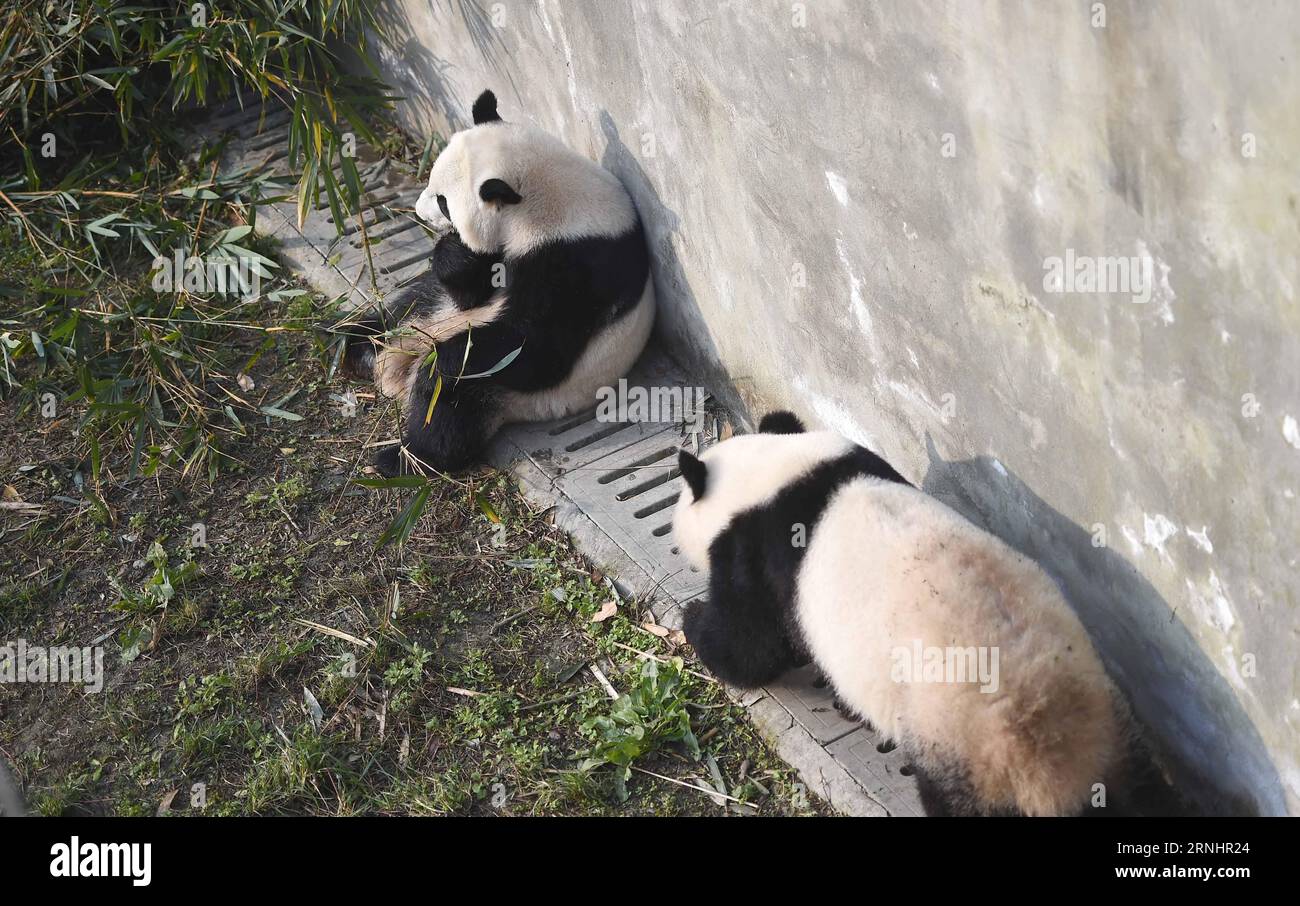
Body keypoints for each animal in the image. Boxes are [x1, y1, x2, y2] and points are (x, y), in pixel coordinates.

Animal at [342, 89, 654, 475]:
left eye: (443, 203)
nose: (418, 212)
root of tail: (398, 369)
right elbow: (469, 290)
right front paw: (454, 254)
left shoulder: (580, 262)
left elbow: (535, 346)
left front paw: (445, 361)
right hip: (431, 315)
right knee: (406, 307)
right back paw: (358, 346)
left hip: (516, 396)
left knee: (451, 406)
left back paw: (406, 454)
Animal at [672, 412, 1172, 817]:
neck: (778, 472)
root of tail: (1056, 767)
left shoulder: (758, 555)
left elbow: (750, 646)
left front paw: (691, 619)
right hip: (1116, 728)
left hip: (960, 744)